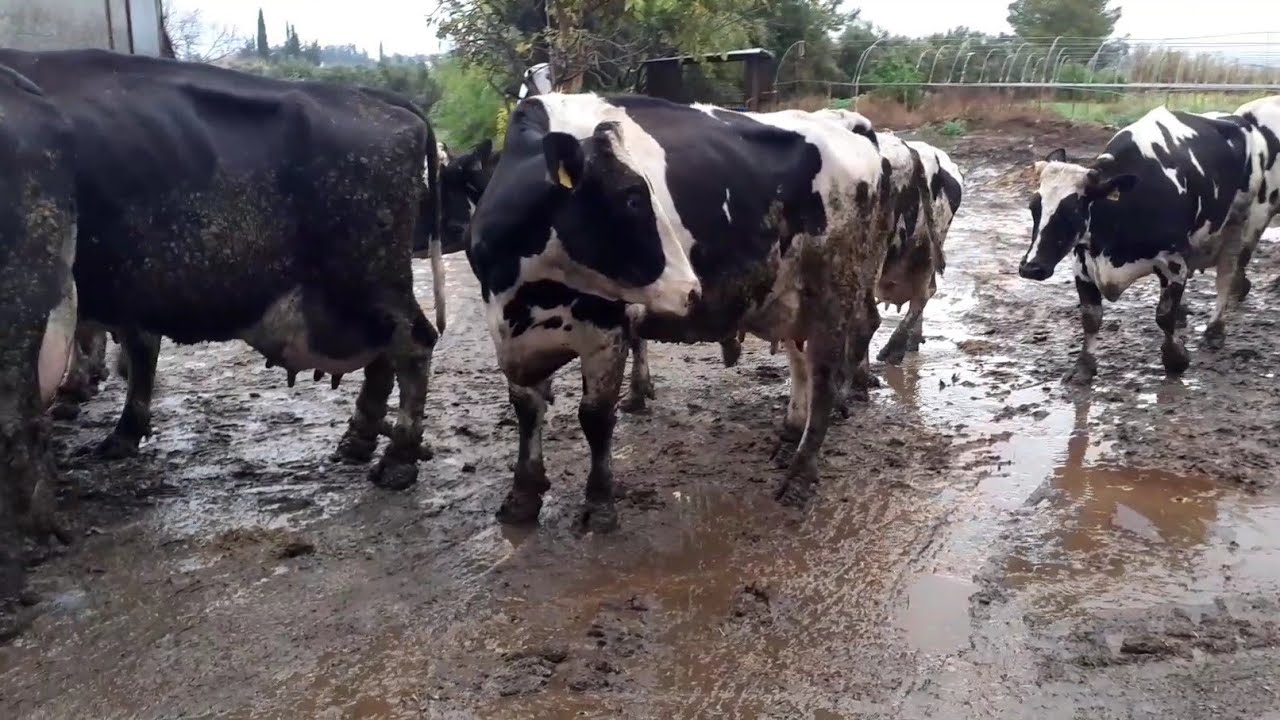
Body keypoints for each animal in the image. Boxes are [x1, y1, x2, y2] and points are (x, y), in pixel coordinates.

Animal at [0, 48, 448, 490]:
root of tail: (374, 97)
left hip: (368, 274)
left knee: (414, 344)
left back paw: (398, 461)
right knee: (386, 351)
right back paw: (358, 439)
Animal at [466, 93, 901, 532]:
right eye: (633, 198)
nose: (692, 288)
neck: (521, 292)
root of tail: (848, 125)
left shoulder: (606, 330)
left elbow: (595, 416)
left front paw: (600, 504)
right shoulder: (508, 332)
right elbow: (526, 409)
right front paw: (522, 496)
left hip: (837, 286)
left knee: (826, 373)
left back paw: (800, 474)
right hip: (791, 294)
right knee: (800, 358)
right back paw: (791, 432)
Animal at [1019, 97, 1280, 382]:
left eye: (1073, 210)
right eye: (1033, 207)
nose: (1031, 267)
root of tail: (1240, 119)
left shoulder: (1174, 263)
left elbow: (1163, 315)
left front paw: (1175, 359)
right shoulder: (1083, 264)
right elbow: (1091, 317)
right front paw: (1083, 367)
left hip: (1242, 224)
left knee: (1227, 276)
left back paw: (1215, 330)